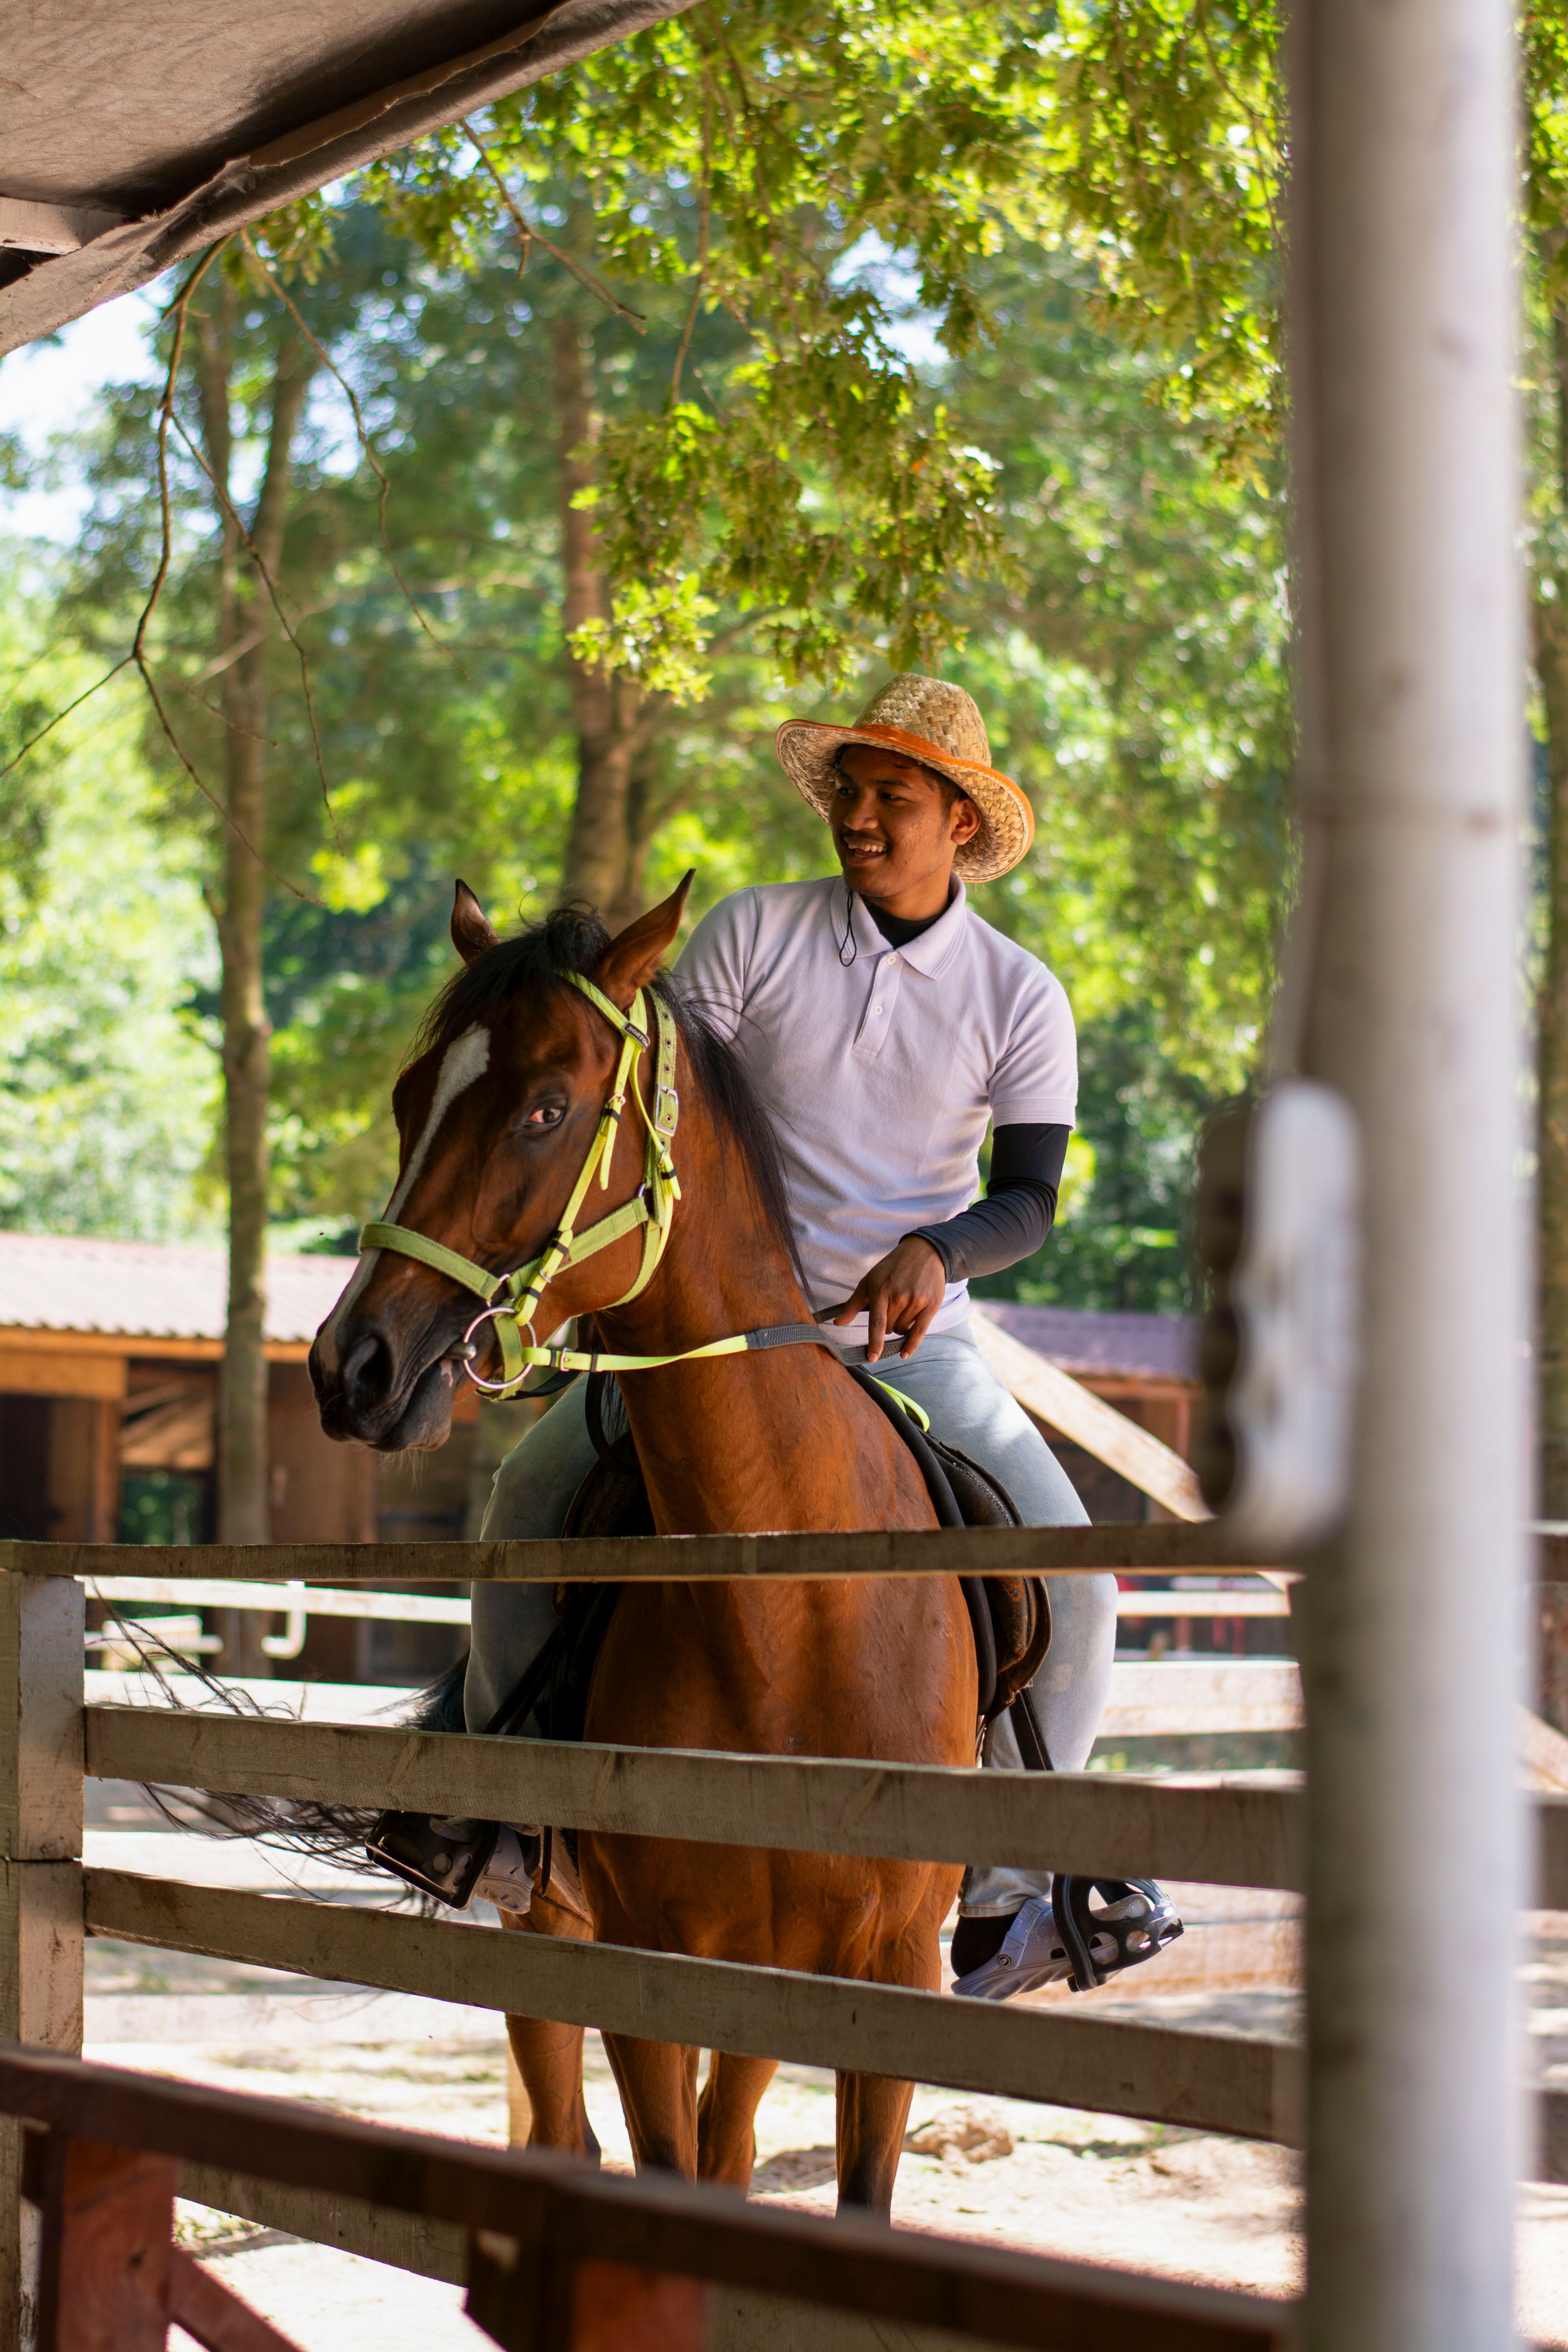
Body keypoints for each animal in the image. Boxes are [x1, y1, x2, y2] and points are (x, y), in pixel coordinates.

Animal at [308, 874, 978, 2211]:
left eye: (544, 1109)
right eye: (411, 1099)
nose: (353, 1367)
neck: (789, 1610)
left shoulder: (888, 1970)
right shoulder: (646, 1956)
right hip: (549, 1932)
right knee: (570, 2134)